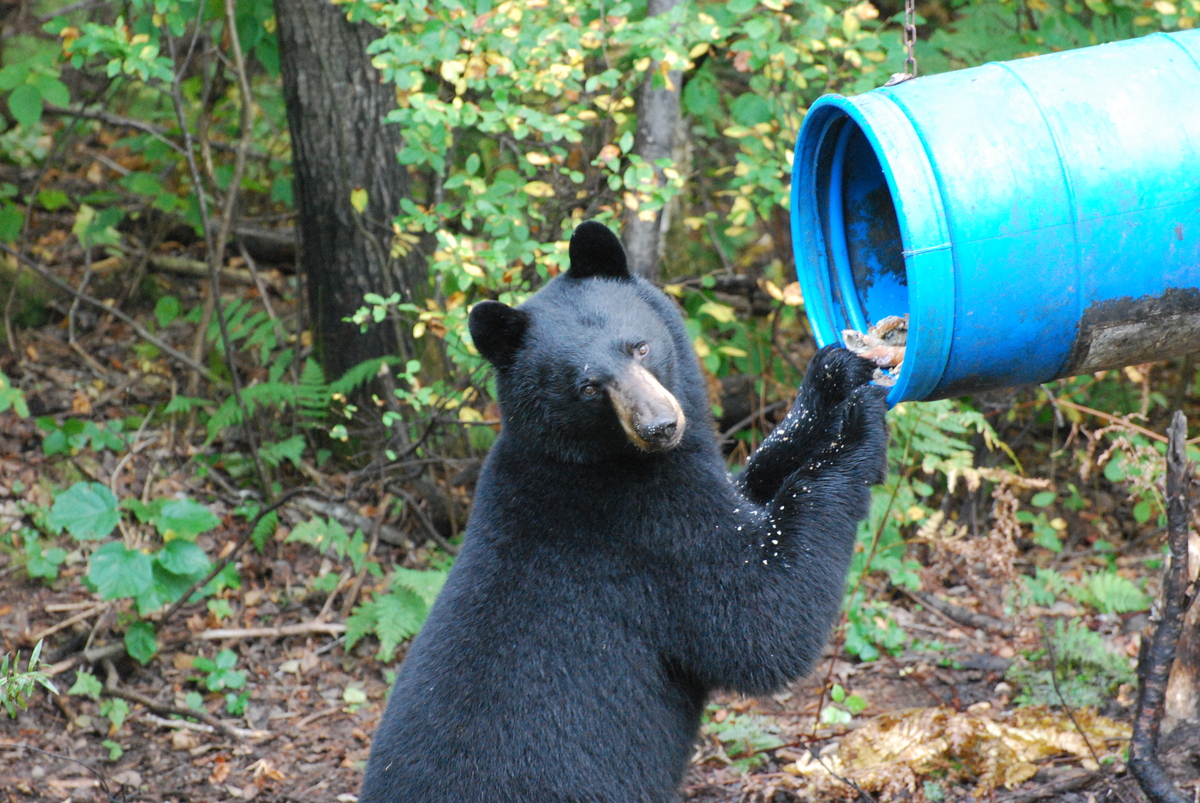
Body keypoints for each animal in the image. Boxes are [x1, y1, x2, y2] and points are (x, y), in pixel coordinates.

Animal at [358, 220, 889, 803]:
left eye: (640, 345)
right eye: (588, 386)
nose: (660, 425)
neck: (597, 459)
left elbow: (753, 486)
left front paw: (832, 379)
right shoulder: (647, 528)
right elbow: (762, 616)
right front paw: (855, 430)